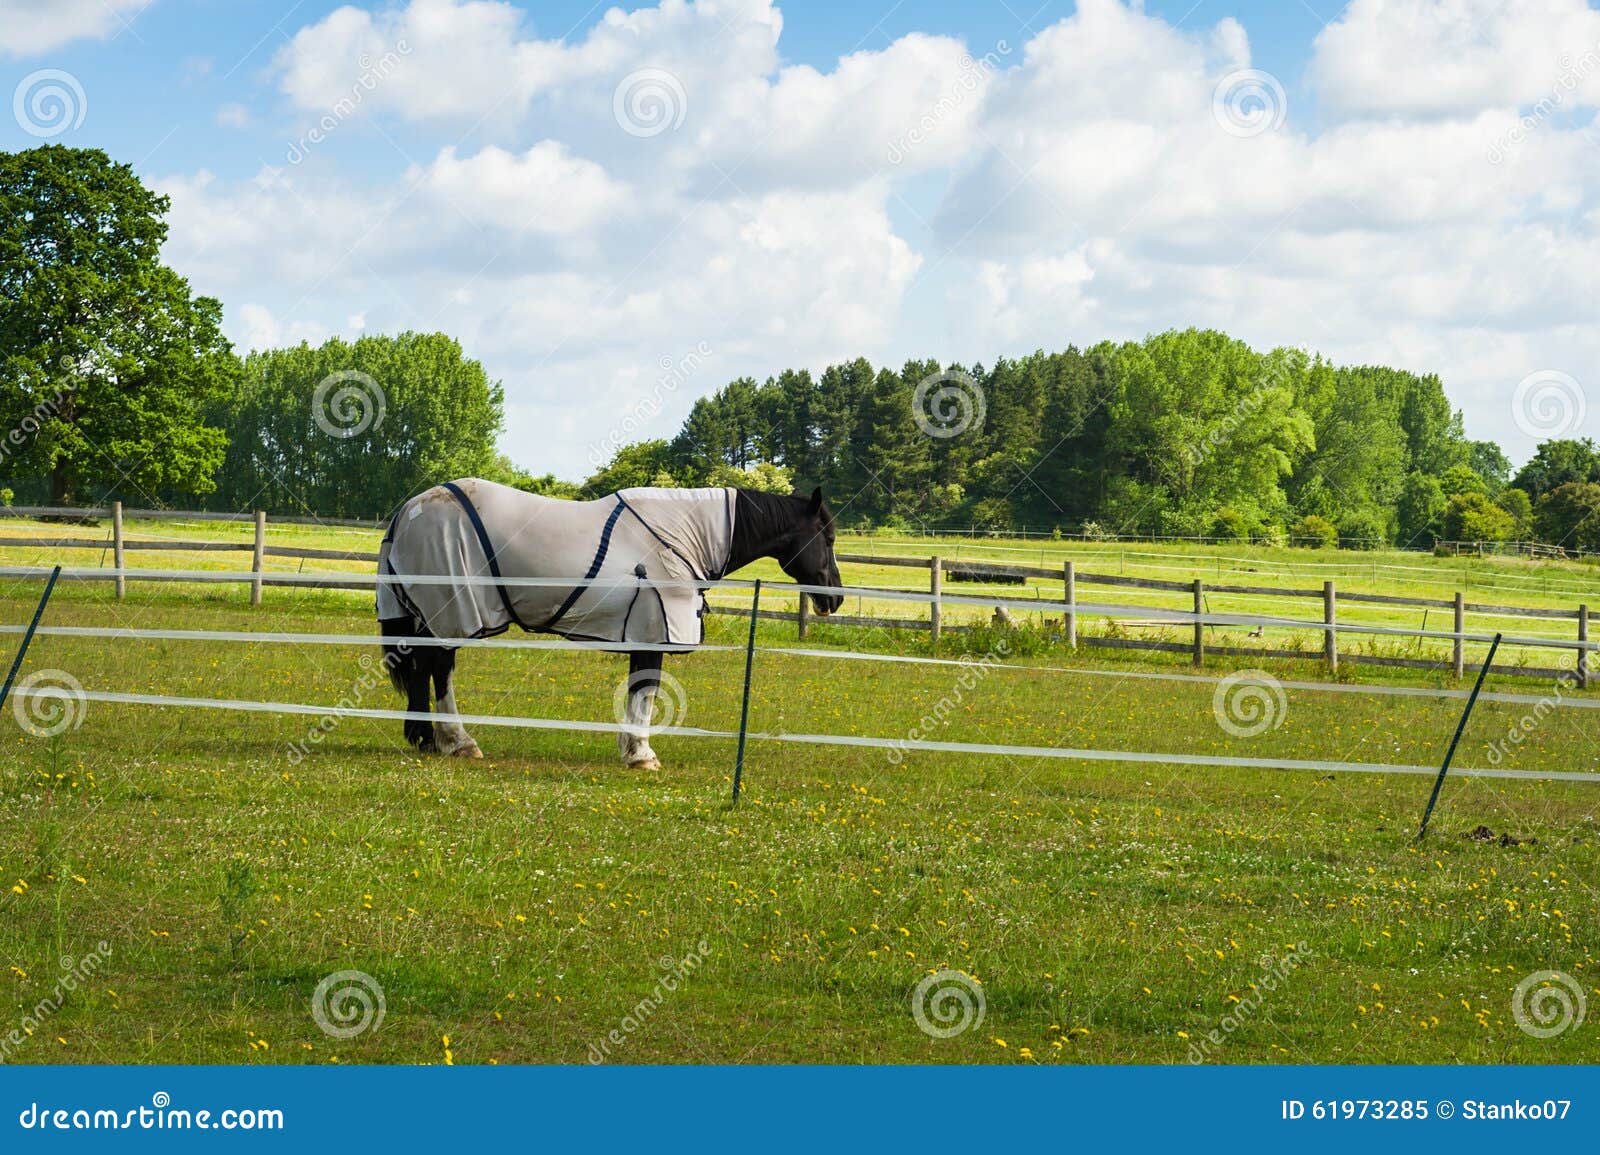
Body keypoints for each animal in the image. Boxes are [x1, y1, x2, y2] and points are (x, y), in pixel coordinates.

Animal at [375, 478, 843, 767]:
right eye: (828, 537)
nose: (834, 599)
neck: (684, 533)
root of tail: (409, 509)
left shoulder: (643, 634)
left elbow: (638, 693)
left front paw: (630, 748)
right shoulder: (654, 634)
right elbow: (647, 692)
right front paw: (642, 755)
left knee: (421, 668)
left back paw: (426, 738)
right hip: (451, 613)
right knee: (439, 669)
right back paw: (457, 742)